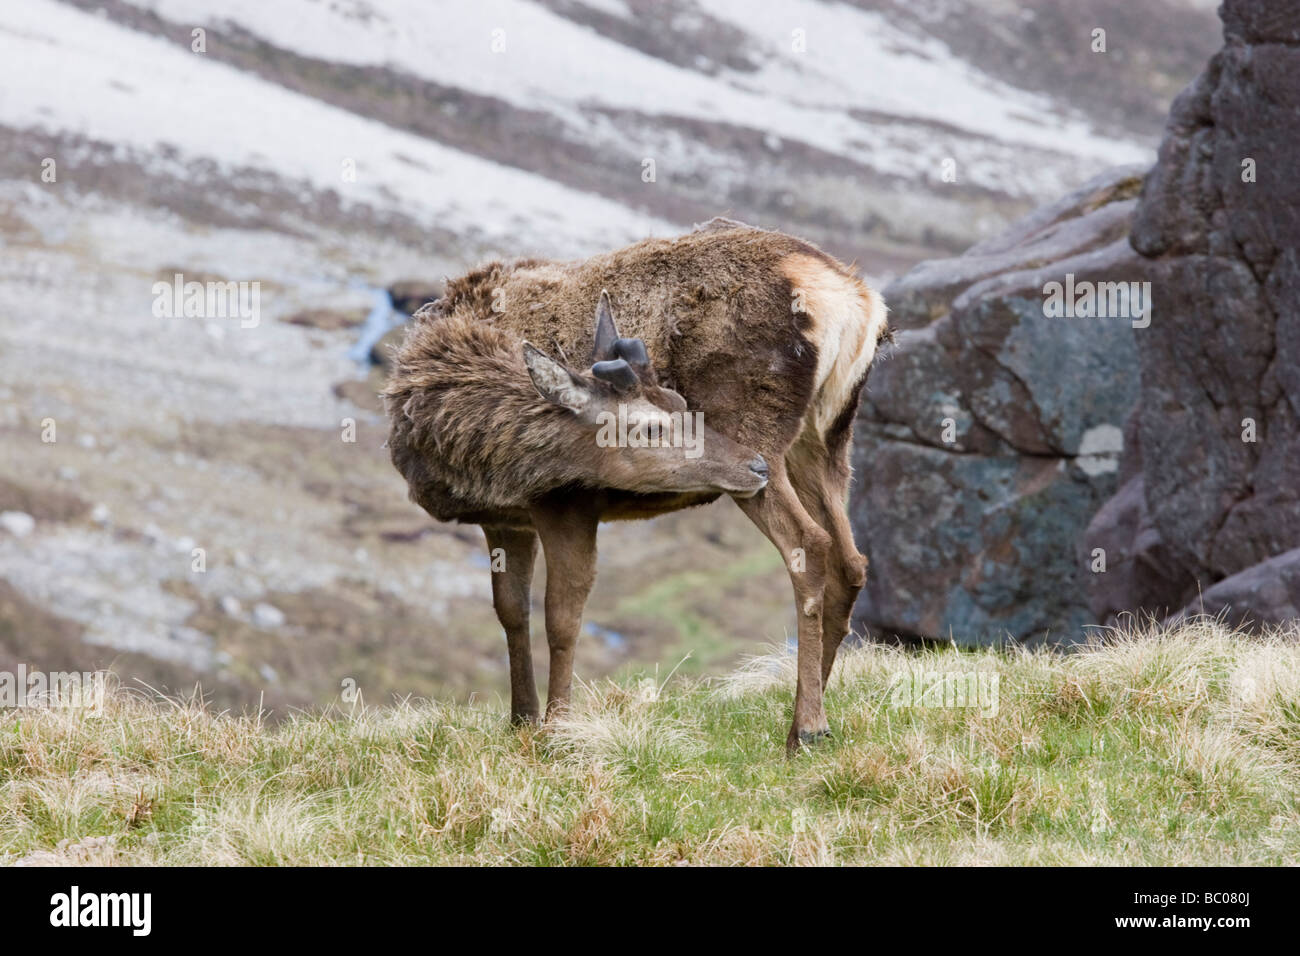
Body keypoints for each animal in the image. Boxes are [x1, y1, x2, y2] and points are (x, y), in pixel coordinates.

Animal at [383, 219, 889, 752]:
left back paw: (807, 725)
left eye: (677, 403)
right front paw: (521, 720)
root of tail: (857, 301)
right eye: (657, 418)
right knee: (850, 560)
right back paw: (810, 709)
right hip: (826, 440)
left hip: (764, 437)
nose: (751, 466)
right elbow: (511, 611)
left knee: (810, 545)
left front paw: (558, 730)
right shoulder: (505, 517)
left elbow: (562, 616)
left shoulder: (566, 500)